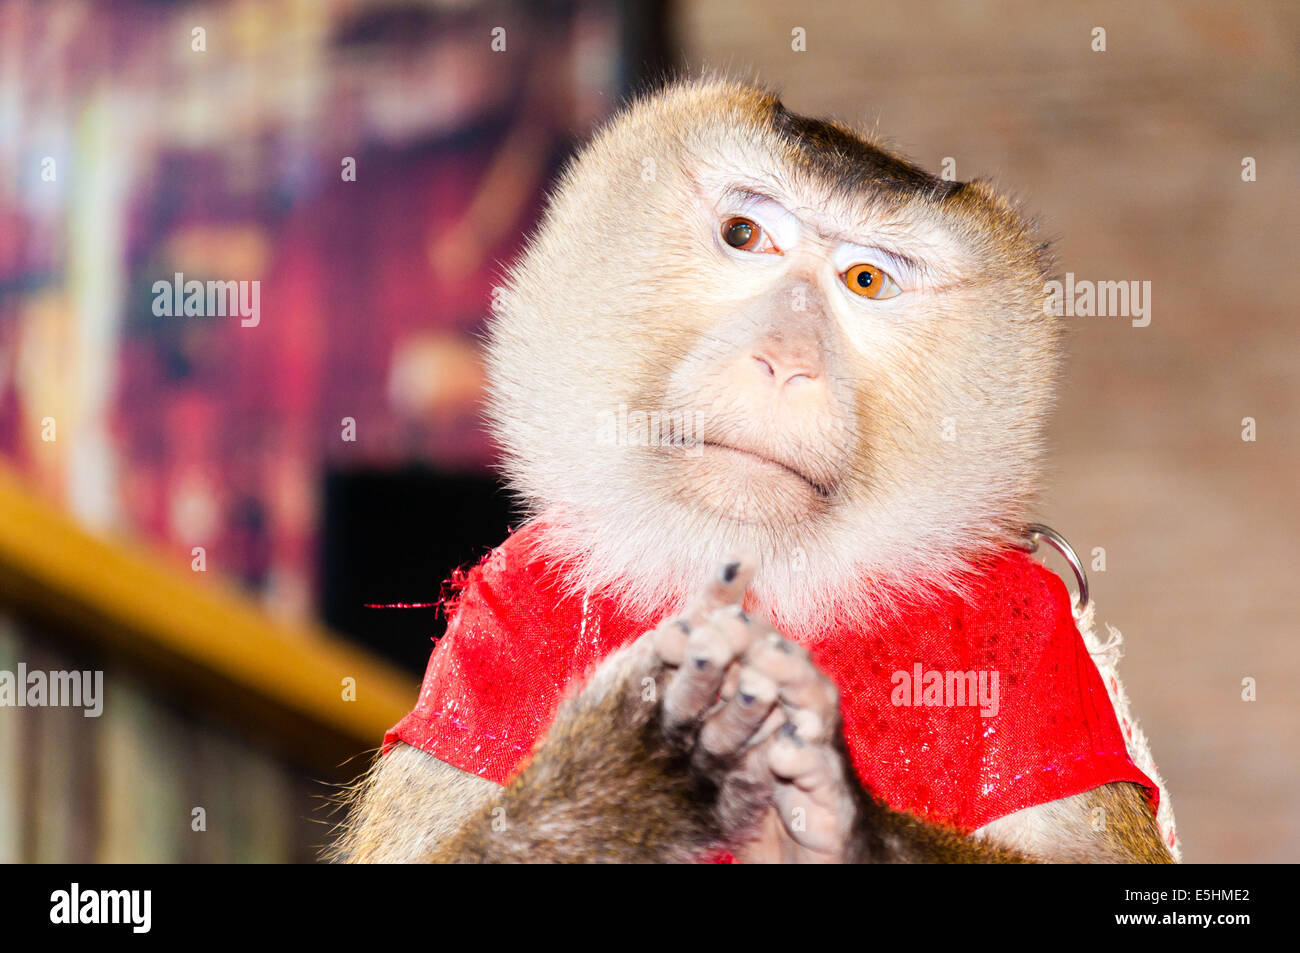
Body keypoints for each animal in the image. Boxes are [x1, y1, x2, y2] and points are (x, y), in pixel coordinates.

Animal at [326, 77, 1177, 864]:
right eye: (745, 233)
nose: (784, 360)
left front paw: (835, 816)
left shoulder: (1045, 642)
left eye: (866, 280)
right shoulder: (494, 609)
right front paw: (631, 768)